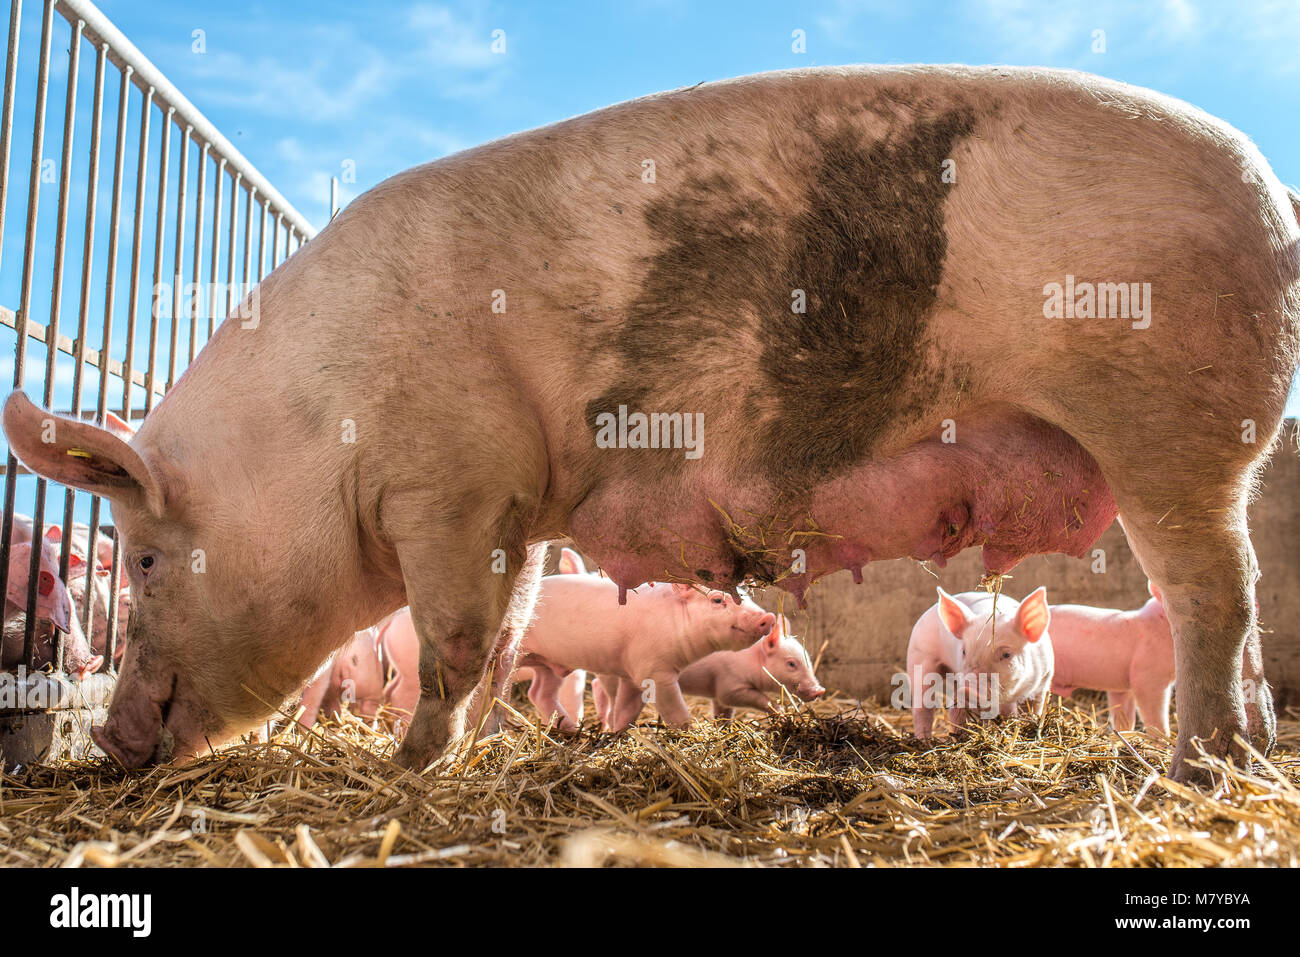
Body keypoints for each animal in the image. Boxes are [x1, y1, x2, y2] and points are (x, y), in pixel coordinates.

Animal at [517, 574, 777, 732]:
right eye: (716, 600)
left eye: (745, 596)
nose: (769, 617)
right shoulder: (654, 670)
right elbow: (674, 710)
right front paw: (689, 732)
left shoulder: (632, 673)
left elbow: (627, 710)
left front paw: (616, 732)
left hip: (548, 663)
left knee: (539, 693)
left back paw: (571, 730)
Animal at [907, 587, 1052, 739]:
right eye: (964, 651)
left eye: (1006, 654)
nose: (968, 689)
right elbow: (956, 713)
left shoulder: (1044, 679)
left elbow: (1033, 709)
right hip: (919, 658)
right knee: (922, 706)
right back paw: (925, 740)